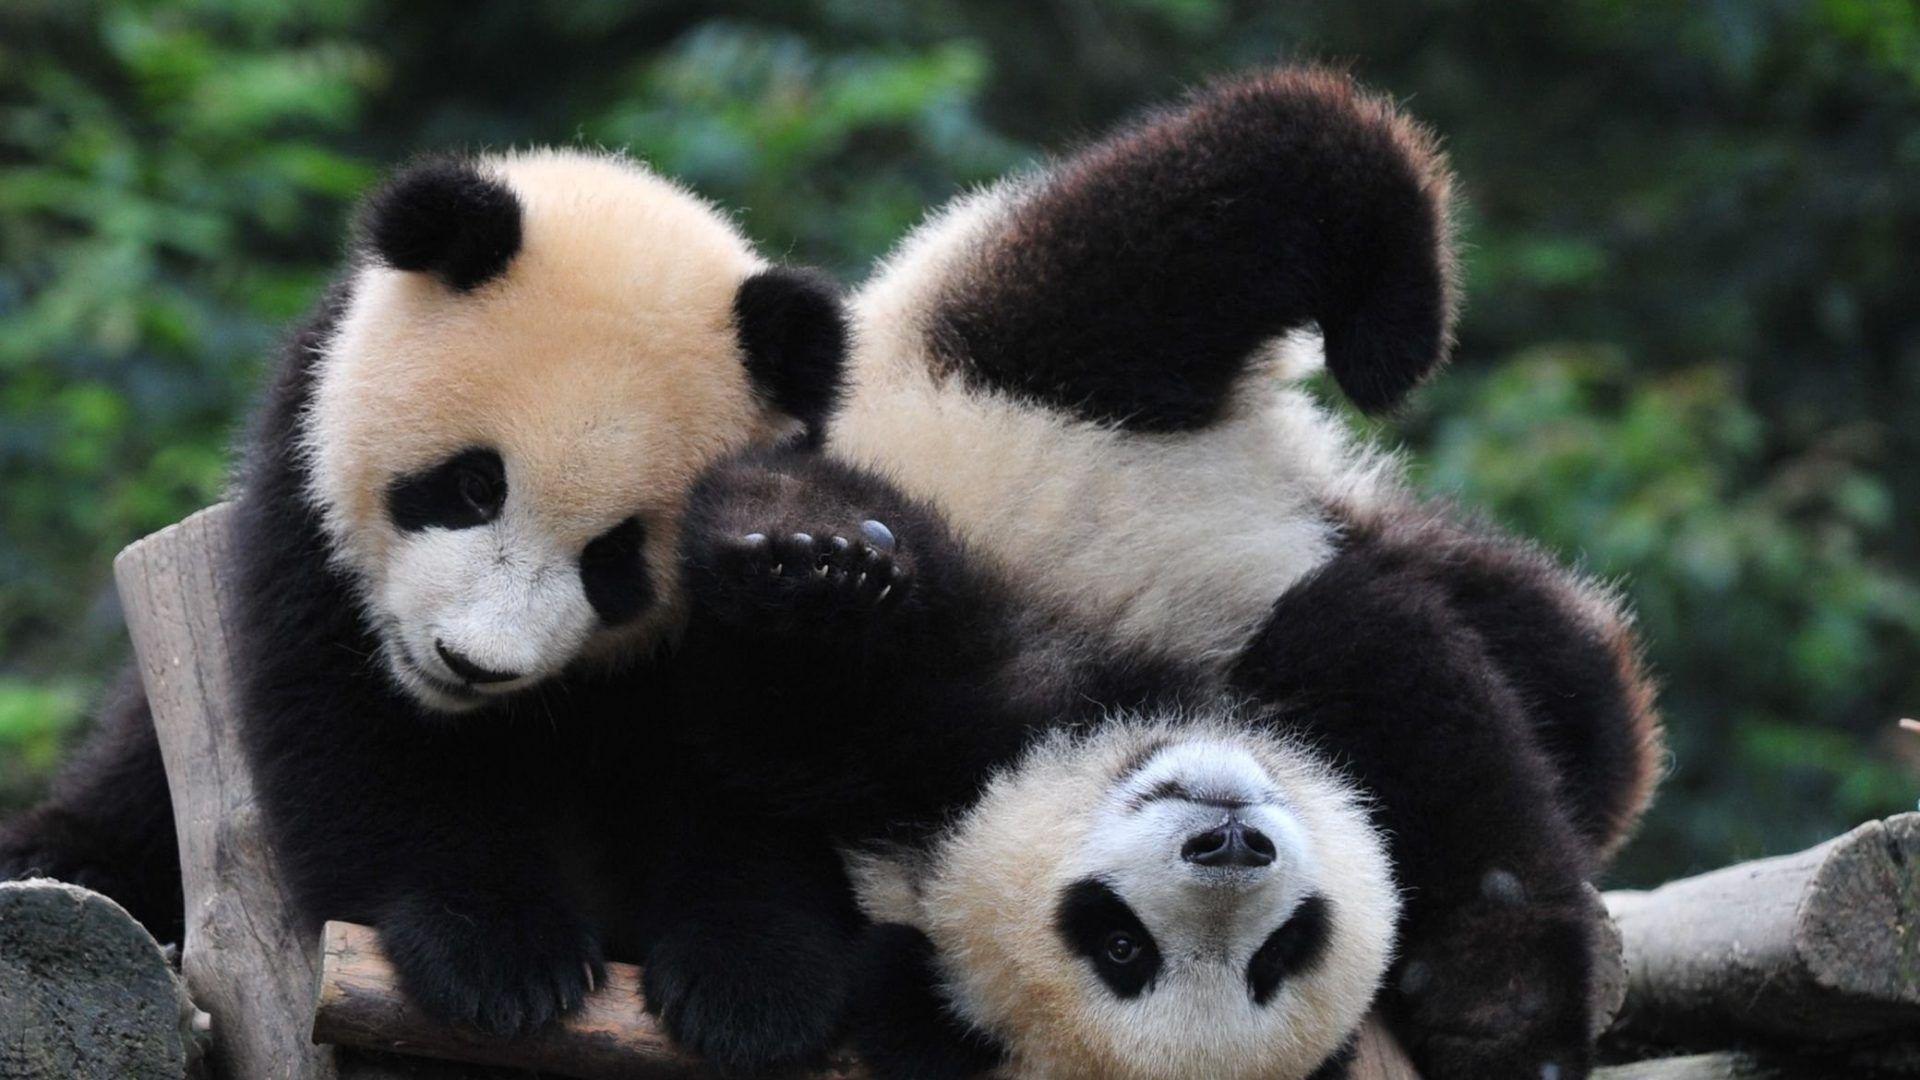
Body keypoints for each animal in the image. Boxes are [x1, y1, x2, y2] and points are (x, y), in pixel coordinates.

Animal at [0, 148, 864, 1074]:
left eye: (614, 558)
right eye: (475, 485)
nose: (473, 664)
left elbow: (749, 764)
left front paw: (751, 988)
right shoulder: (307, 511)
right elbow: (351, 736)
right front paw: (500, 958)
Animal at [785, 66, 1660, 1079]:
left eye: (1285, 945)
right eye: (1123, 946)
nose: (1228, 840)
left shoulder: (938, 689)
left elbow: (1406, 697)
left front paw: (1507, 989)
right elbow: (1366, 654)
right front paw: (1500, 1008)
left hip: (1015, 380)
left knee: (1207, 212)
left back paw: (1387, 316)